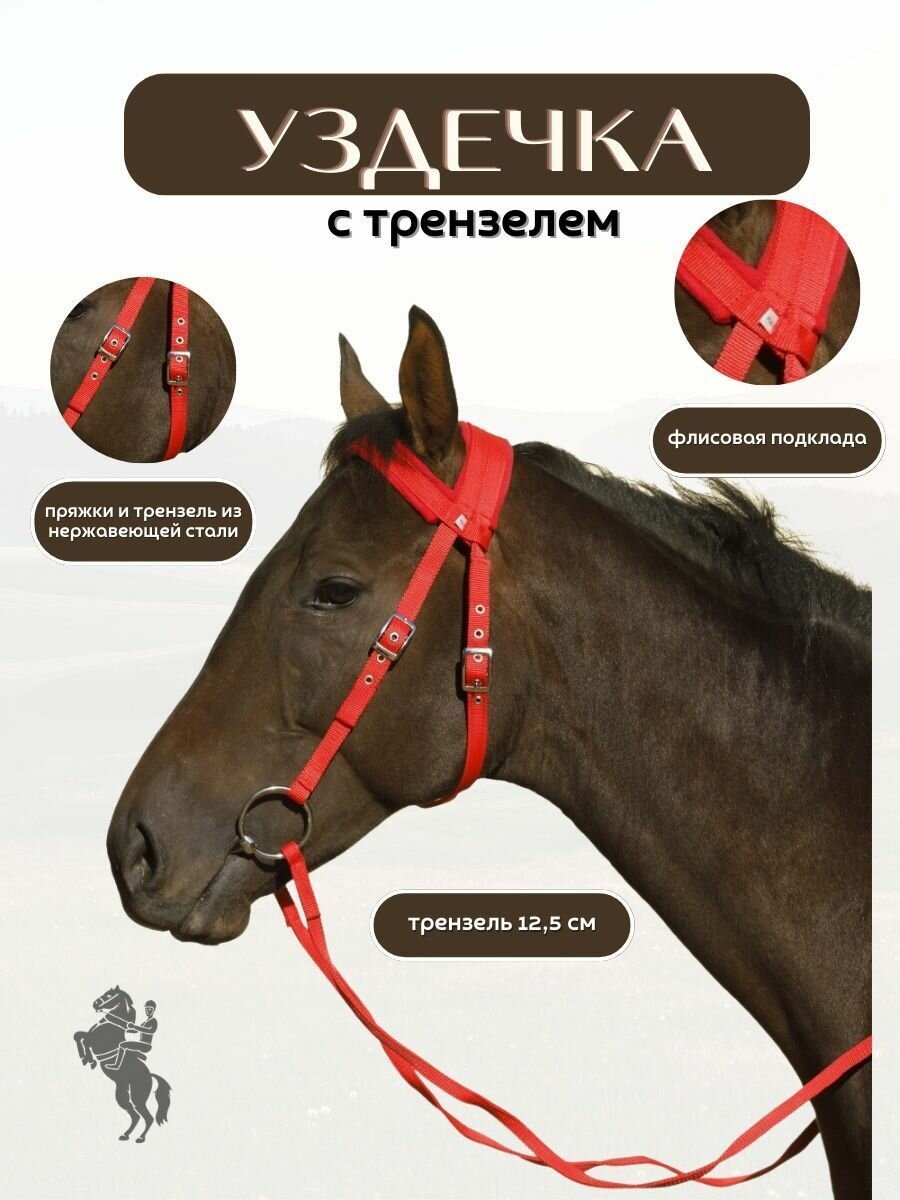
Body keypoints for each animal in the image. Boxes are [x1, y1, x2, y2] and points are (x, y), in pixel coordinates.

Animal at [74, 985, 172, 1142]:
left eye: (109, 995)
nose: (95, 1004)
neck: (111, 1025)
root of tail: (150, 1076)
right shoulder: (89, 1037)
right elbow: (78, 1035)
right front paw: (86, 1059)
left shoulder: (95, 1041)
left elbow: (84, 1039)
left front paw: (89, 1060)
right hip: (122, 1095)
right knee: (135, 1116)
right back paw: (125, 1135)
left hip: (138, 1098)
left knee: (148, 1118)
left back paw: (140, 1138)